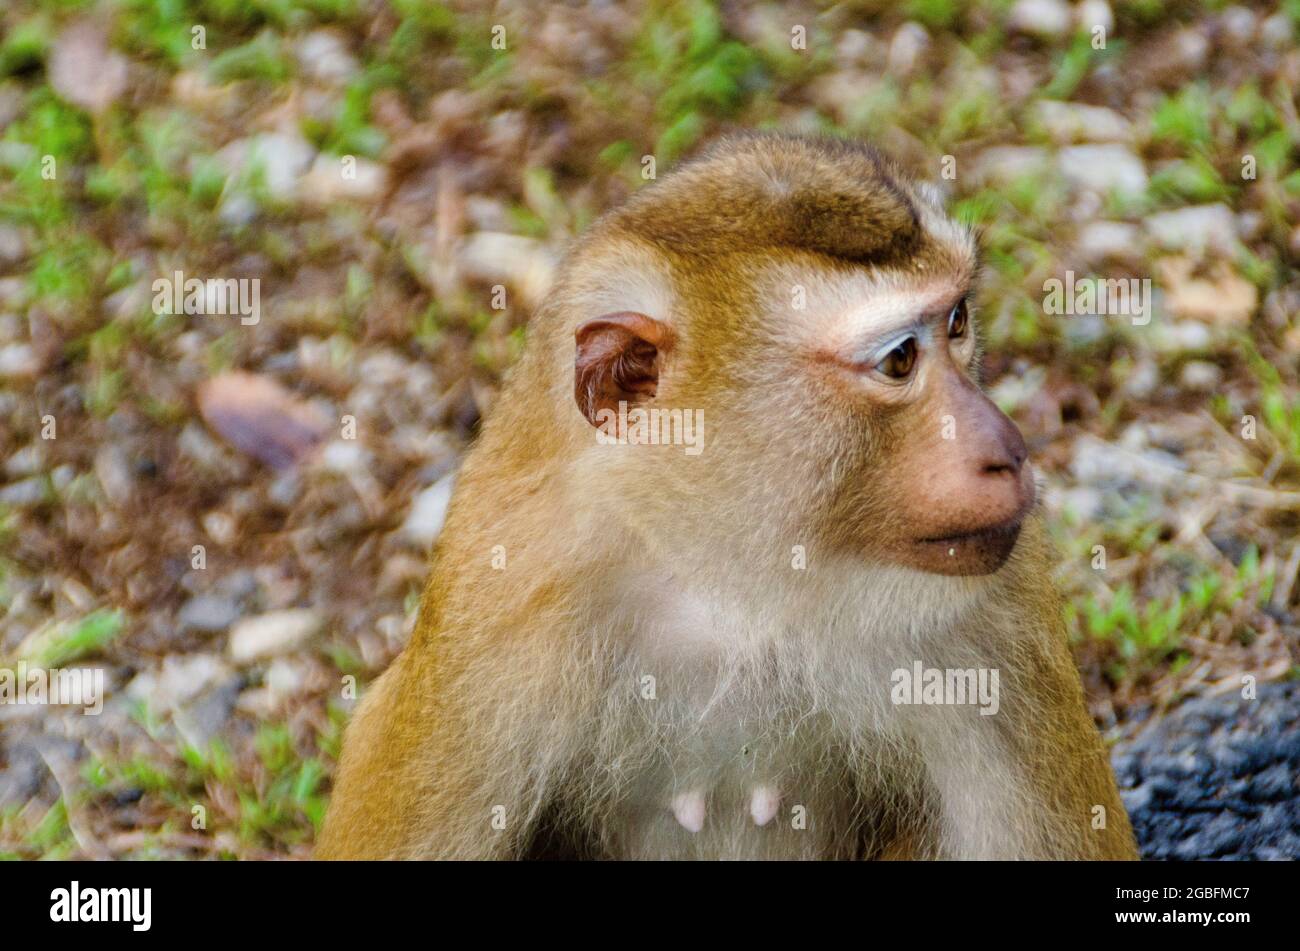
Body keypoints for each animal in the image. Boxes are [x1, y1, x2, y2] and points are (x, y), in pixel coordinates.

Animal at [316, 133, 1138, 860]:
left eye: (957, 322)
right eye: (900, 360)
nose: (1008, 450)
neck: (726, 589)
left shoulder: (996, 629)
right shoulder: (499, 621)